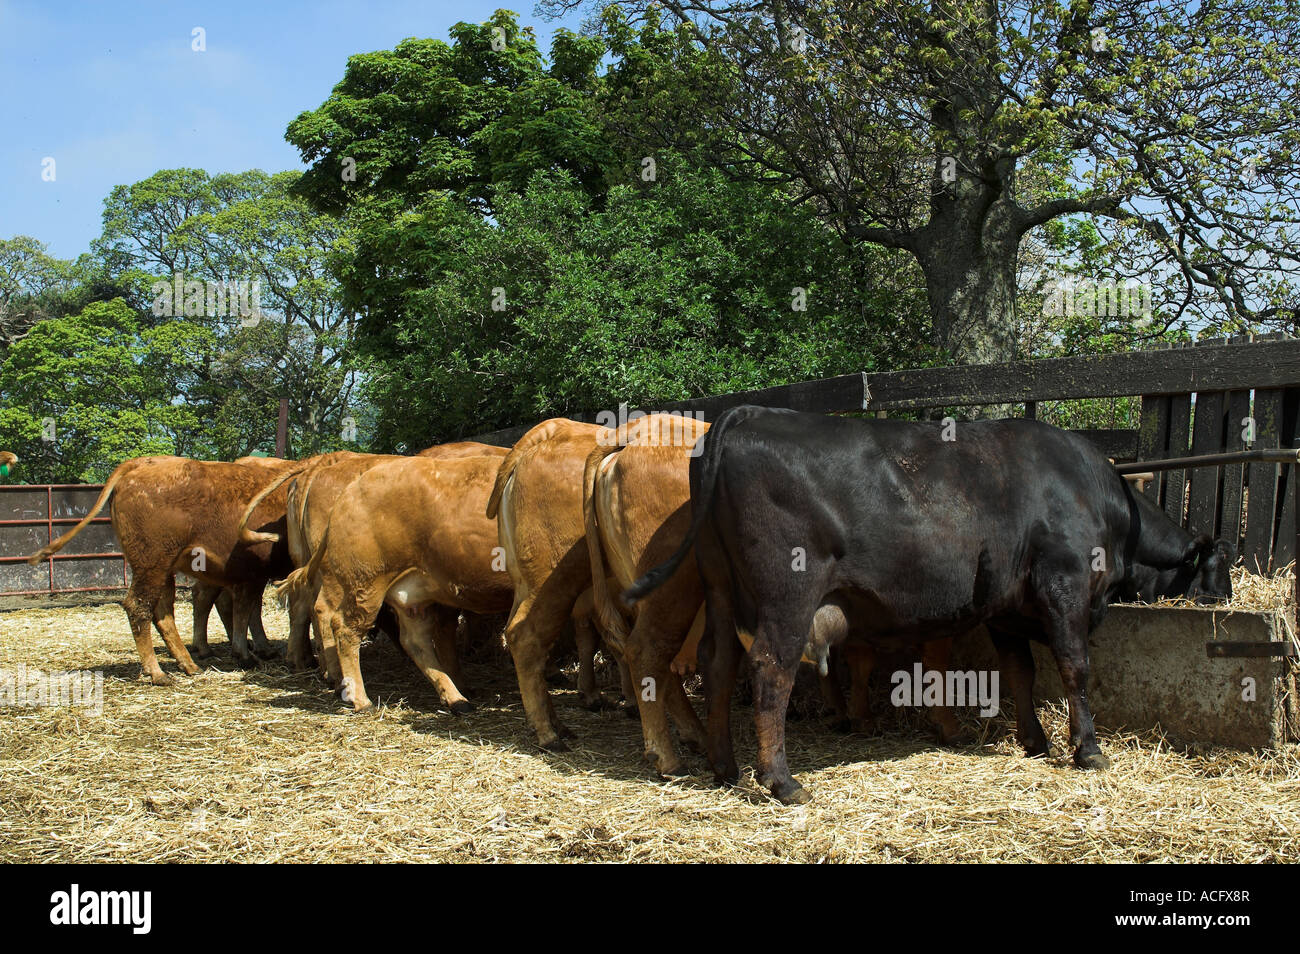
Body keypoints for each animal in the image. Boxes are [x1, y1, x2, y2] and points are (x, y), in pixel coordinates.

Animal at [26, 456, 306, 683]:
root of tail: (140, 463)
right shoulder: (254, 575)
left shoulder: (253, 575)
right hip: (153, 566)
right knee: (141, 607)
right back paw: (158, 672)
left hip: (167, 571)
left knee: (168, 612)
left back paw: (191, 663)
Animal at [275, 453, 514, 713]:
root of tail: (350, 491)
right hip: (363, 584)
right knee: (343, 628)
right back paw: (358, 698)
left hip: (410, 596)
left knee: (414, 641)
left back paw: (456, 699)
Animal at [624, 406, 1234, 804]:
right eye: (1218, 567)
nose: (1227, 598)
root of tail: (743, 416)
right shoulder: (1063, 585)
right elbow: (1073, 667)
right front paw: (1088, 750)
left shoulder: (1007, 607)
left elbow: (1020, 670)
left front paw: (1033, 742)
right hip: (786, 596)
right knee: (770, 669)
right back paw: (782, 781)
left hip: (720, 587)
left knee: (719, 661)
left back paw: (724, 766)